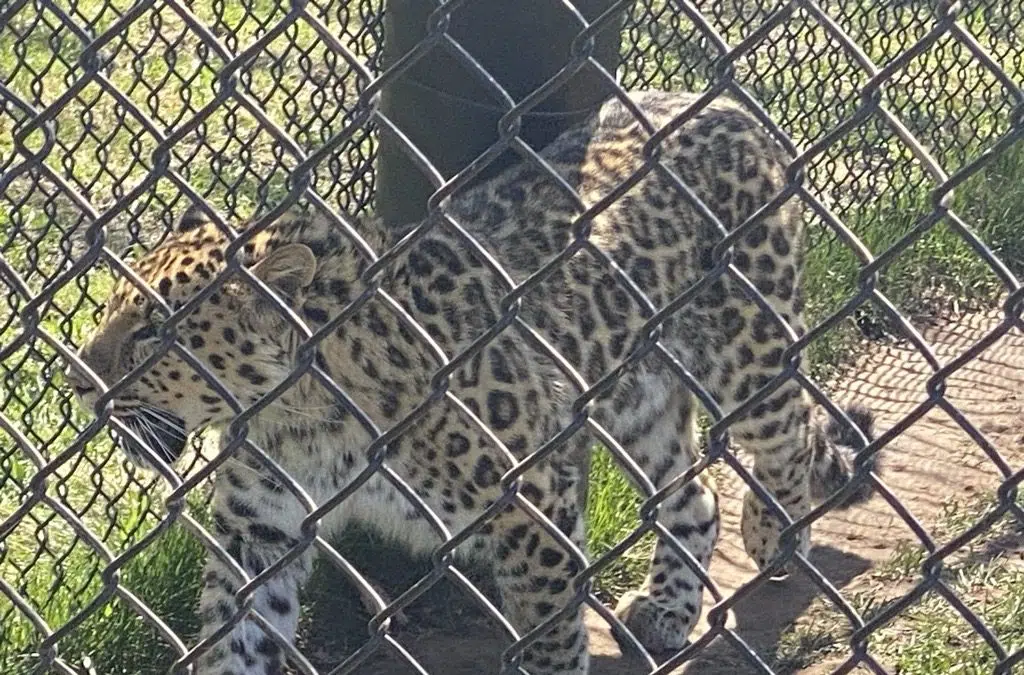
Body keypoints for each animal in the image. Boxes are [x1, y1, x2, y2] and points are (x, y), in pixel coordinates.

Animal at [67, 90, 877, 674]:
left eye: (155, 333)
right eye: (106, 307)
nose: (74, 376)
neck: (302, 416)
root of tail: (732, 105)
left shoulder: (534, 501)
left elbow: (550, 637)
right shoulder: (255, 530)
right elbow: (238, 639)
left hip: (751, 345)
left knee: (788, 434)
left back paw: (774, 533)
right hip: (637, 399)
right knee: (693, 493)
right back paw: (669, 607)